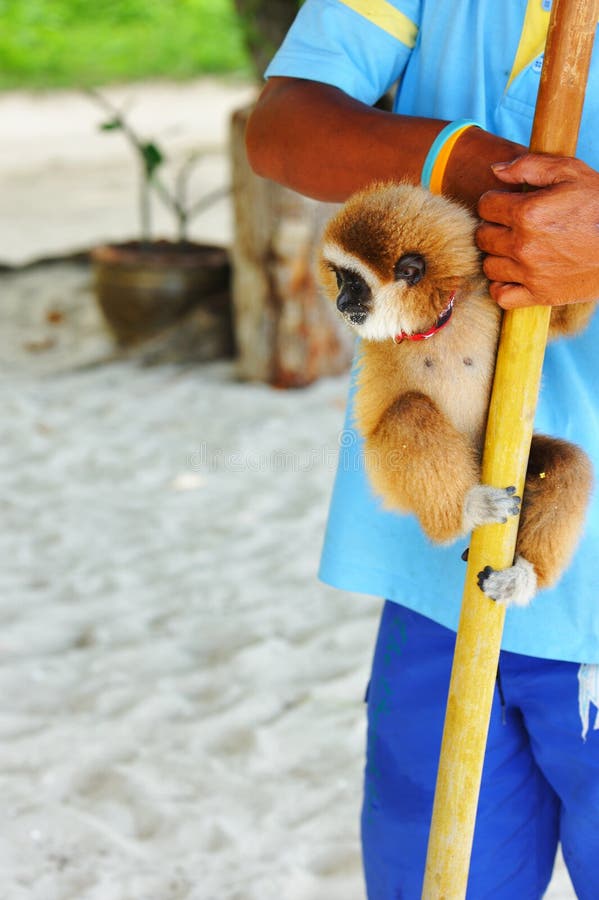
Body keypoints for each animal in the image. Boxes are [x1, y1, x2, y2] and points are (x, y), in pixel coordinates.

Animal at [318, 181, 594, 608]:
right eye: (339, 279)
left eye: (353, 282)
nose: (341, 302)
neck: (433, 323)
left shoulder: (490, 301)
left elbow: (560, 313)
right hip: (390, 479)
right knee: (409, 412)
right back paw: (468, 508)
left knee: (568, 464)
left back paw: (524, 576)